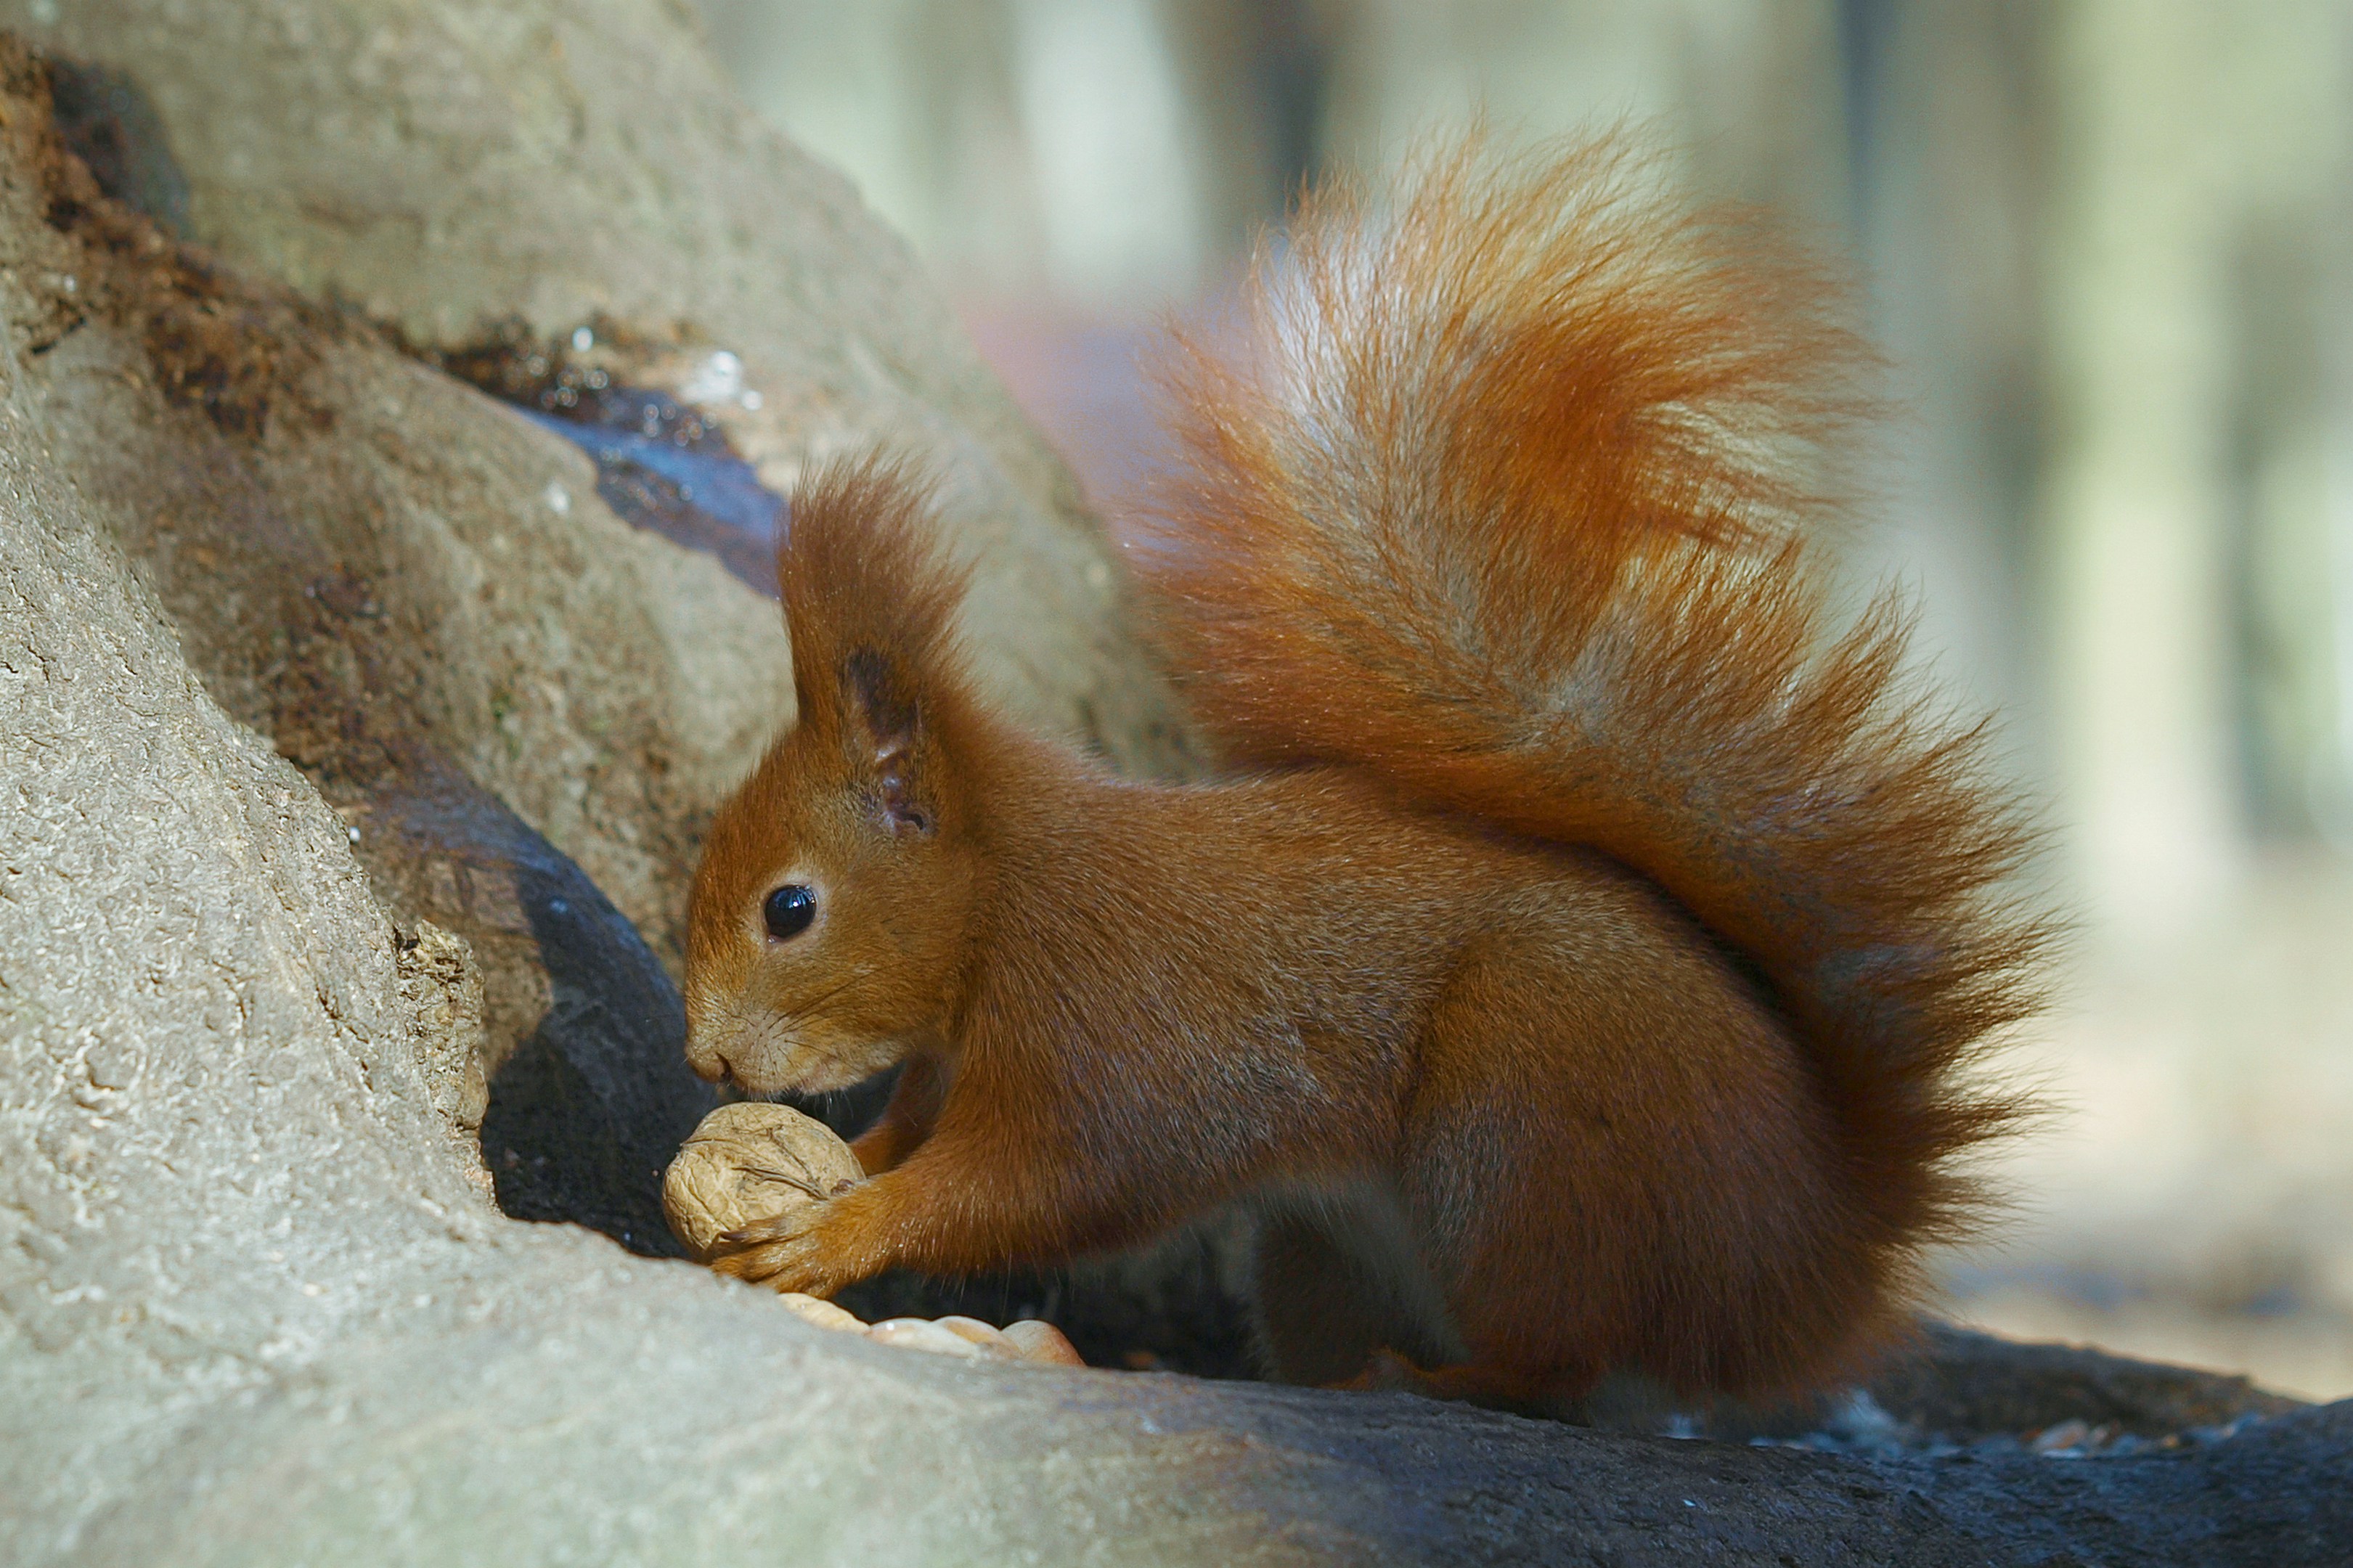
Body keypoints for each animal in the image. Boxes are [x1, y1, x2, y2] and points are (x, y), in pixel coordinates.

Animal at [681, 135, 2047, 1412]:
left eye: (790, 909)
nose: (708, 1065)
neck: (1004, 906)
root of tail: (1807, 1264)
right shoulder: (947, 1061)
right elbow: (913, 1136)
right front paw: (832, 1171)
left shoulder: (1112, 1038)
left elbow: (1038, 1186)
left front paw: (838, 1229)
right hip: (1318, 1252)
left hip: (1524, 1126)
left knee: (1554, 1365)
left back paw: (1426, 1384)